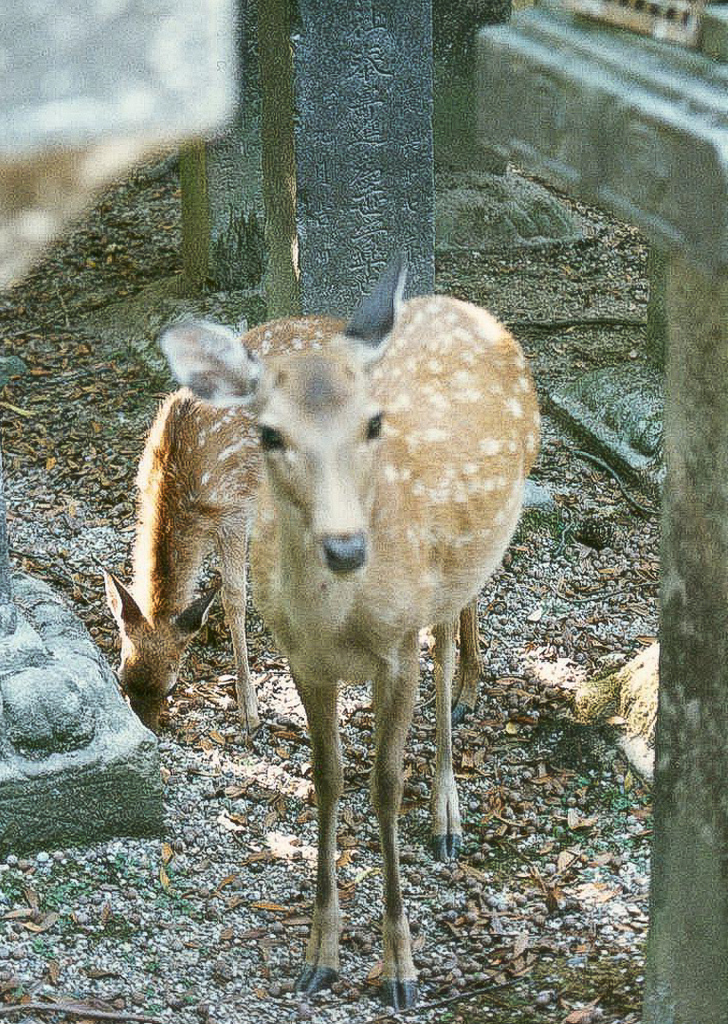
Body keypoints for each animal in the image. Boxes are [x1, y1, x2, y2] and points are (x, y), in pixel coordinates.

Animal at [105, 320, 483, 737]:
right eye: (122, 679)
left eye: (170, 685)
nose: (148, 730)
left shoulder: (235, 509)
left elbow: (234, 598)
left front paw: (250, 712)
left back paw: (462, 694)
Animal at [159, 255, 539, 1009]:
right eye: (270, 433)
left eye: (372, 424)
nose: (345, 547)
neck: (337, 617)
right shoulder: (302, 659)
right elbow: (327, 778)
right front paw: (320, 954)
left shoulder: (397, 646)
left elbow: (385, 785)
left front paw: (400, 968)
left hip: (450, 574)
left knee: (445, 651)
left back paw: (447, 816)